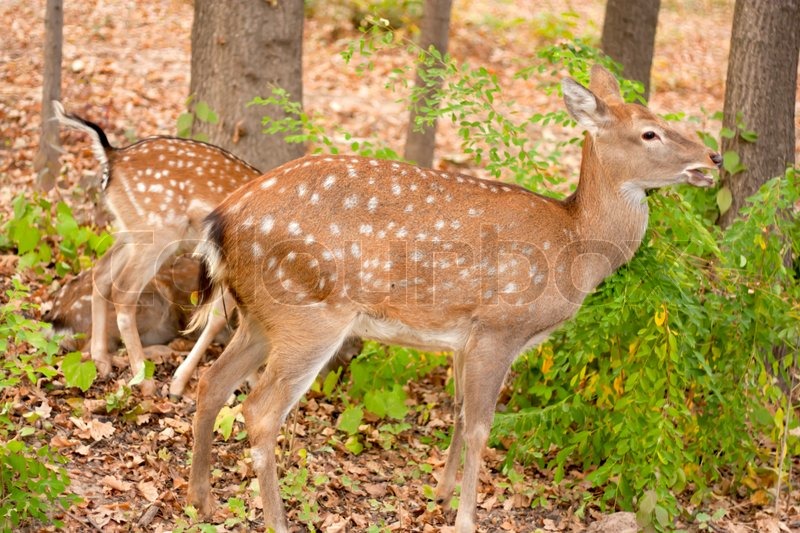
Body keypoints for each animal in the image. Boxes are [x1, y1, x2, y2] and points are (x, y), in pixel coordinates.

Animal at [185, 65, 722, 532]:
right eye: (650, 133)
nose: (713, 159)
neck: (573, 242)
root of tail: (220, 220)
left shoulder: (463, 338)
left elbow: (460, 413)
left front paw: (440, 496)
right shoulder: (499, 328)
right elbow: (483, 427)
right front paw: (466, 519)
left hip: (259, 315)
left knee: (212, 382)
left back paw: (200, 500)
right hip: (309, 312)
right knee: (260, 411)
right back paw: (275, 521)